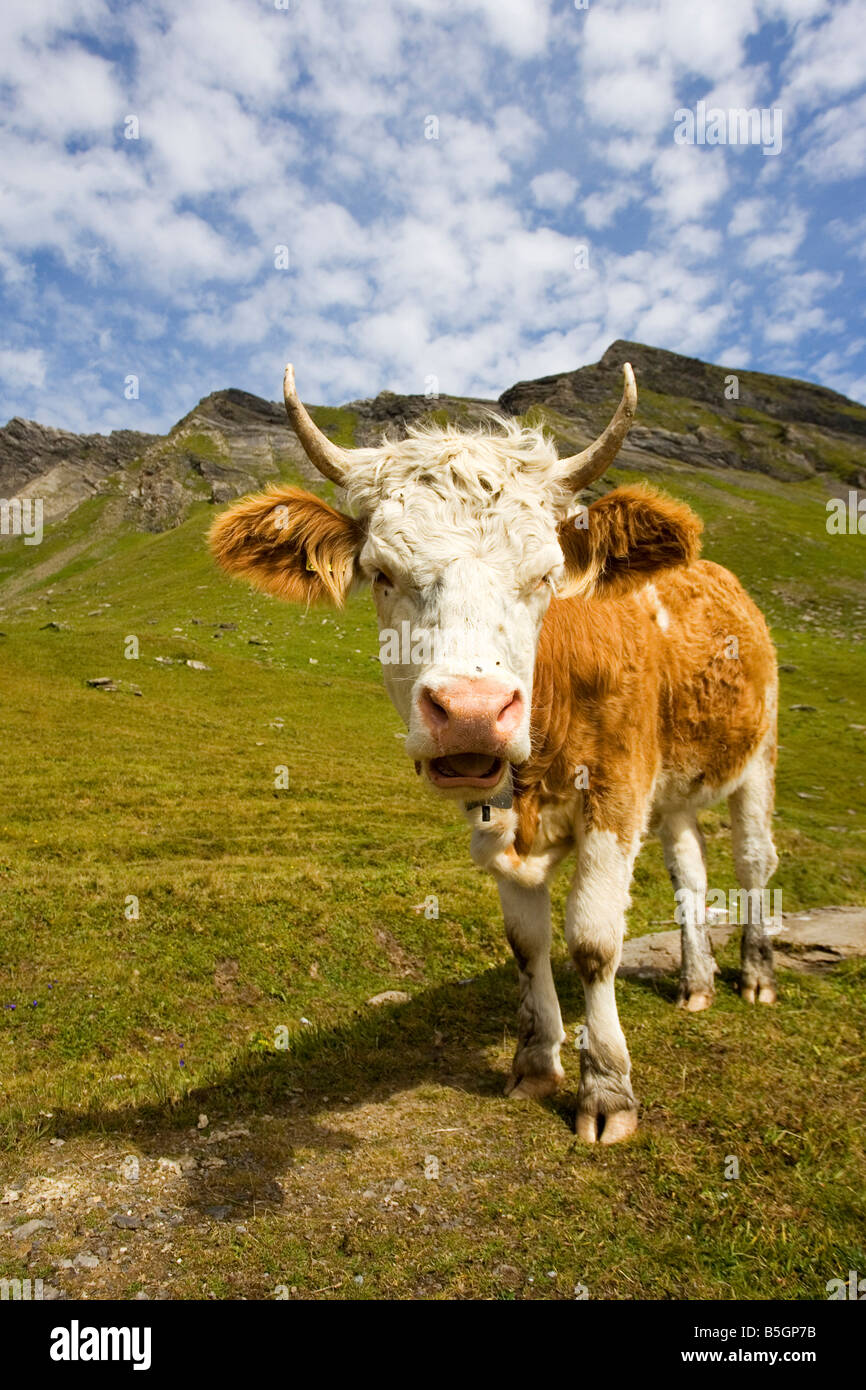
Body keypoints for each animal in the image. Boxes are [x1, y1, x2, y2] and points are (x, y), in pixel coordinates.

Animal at [209, 362, 779, 1144]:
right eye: (380, 573)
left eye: (544, 574)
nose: (472, 713)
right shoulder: (505, 816)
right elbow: (525, 941)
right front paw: (536, 1062)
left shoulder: (617, 794)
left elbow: (593, 941)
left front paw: (607, 1090)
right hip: (675, 793)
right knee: (690, 871)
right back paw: (695, 984)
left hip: (757, 753)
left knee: (753, 860)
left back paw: (755, 974)